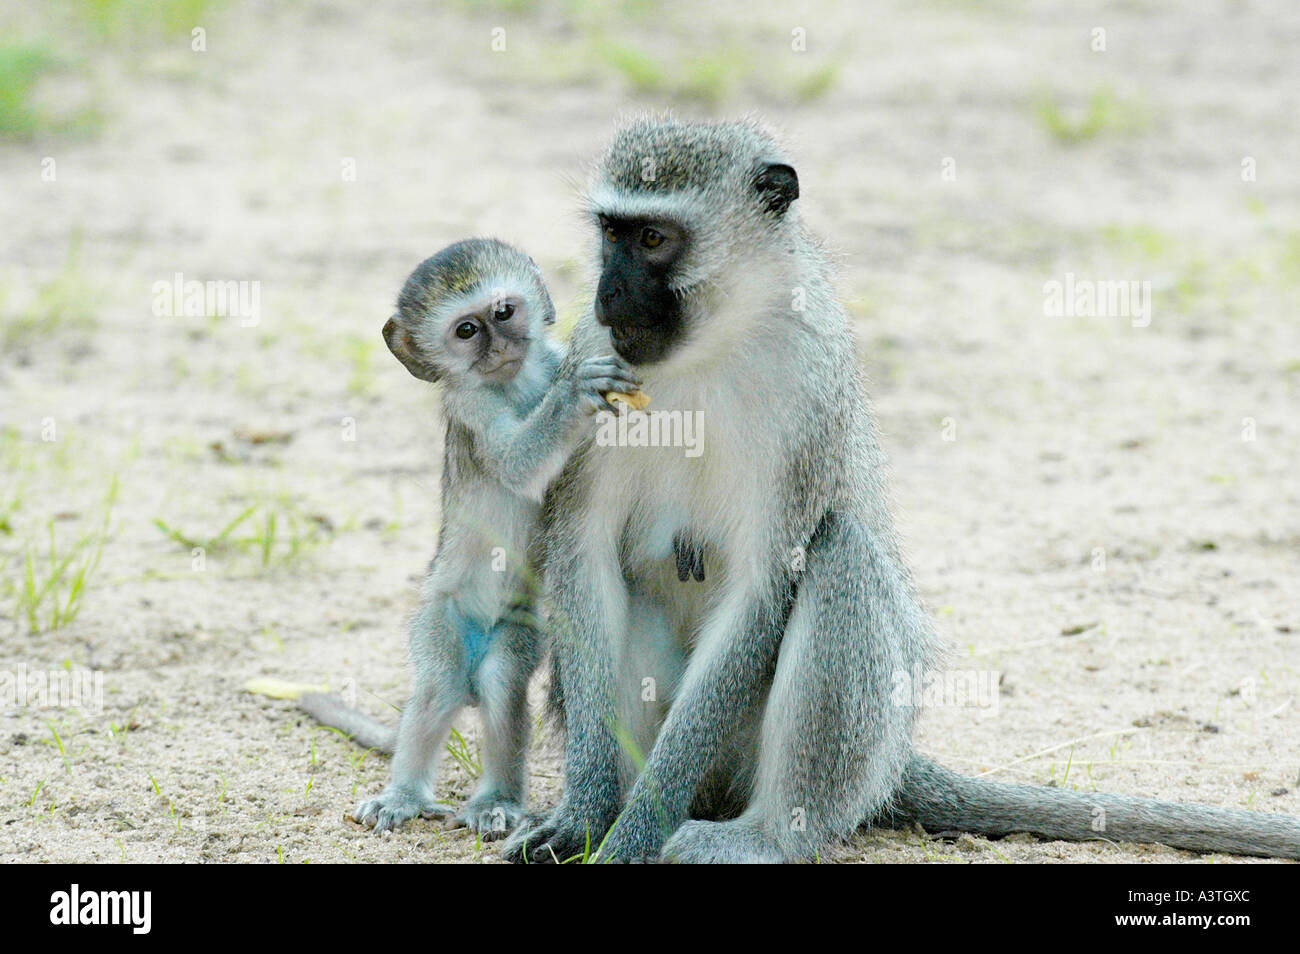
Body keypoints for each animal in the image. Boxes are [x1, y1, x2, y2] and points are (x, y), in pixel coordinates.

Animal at [300, 238, 642, 838]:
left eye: (503, 313)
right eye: (466, 331)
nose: (499, 346)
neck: (518, 381)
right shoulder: (470, 403)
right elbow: (517, 463)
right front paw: (575, 393)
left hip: (517, 633)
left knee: (502, 688)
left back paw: (496, 800)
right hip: (441, 618)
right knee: (437, 687)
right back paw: (405, 793)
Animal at [502, 117, 1300, 863]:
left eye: (654, 238)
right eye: (610, 234)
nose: (607, 295)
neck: (717, 340)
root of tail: (893, 763)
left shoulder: (811, 391)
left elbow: (766, 584)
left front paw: (633, 835)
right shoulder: (594, 366)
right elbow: (584, 551)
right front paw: (586, 815)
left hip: (851, 738)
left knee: (839, 552)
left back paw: (769, 834)